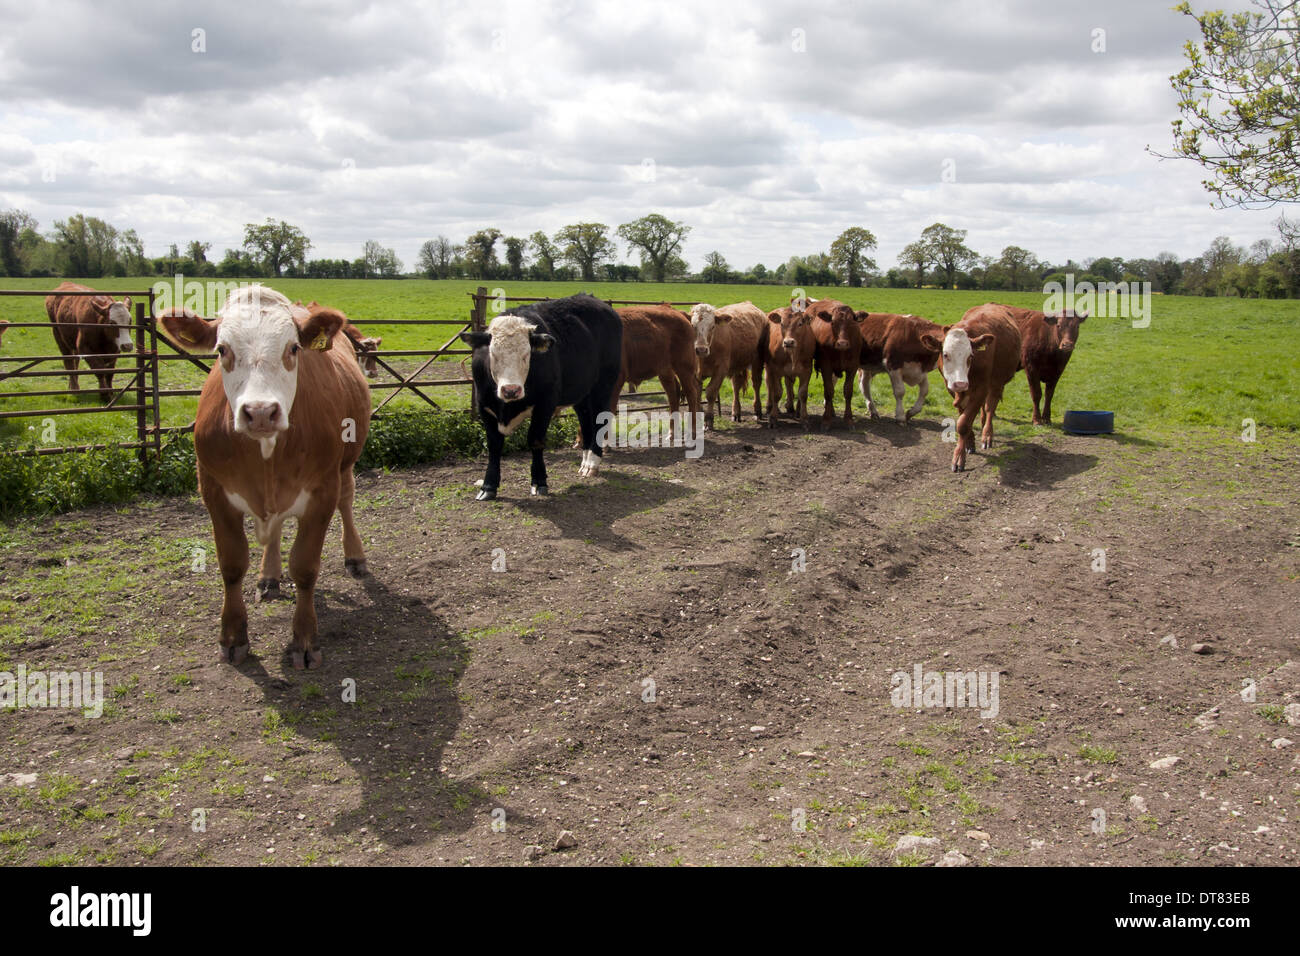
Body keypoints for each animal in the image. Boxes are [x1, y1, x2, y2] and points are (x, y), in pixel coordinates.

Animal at [158, 287, 371, 670]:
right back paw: (269, 575)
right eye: (222, 350)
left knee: (347, 502)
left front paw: (304, 641)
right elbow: (231, 565)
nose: (260, 412)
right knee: (274, 530)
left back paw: (355, 557)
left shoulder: (322, 492)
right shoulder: (214, 492)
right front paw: (232, 637)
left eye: (293, 348)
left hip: (346, 465)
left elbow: (305, 567)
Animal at [460, 294, 622, 500]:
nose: (511, 390)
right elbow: (494, 445)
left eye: (526, 354)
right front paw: (488, 486)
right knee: (586, 421)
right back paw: (585, 463)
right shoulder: (484, 407)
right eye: (493, 354)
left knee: (600, 420)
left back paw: (593, 462)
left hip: (603, 385)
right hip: (581, 393)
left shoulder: (545, 404)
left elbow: (535, 441)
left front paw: (539, 482)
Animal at [688, 301, 766, 429]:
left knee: (756, 383)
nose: (701, 350)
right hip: (737, 363)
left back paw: (757, 411)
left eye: (712, 326)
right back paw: (736, 413)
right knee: (736, 386)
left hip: (757, 360)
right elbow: (697, 393)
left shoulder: (721, 370)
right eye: (693, 326)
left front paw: (709, 420)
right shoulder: (695, 374)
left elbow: (710, 393)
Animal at [927, 306, 1022, 472]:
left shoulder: (980, 389)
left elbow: (963, 423)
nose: (960, 383)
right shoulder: (952, 389)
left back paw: (987, 434)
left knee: (990, 408)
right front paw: (969, 443)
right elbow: (964, 416)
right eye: (945, 354)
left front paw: (959, 457)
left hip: (997, 382)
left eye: (970, 356)